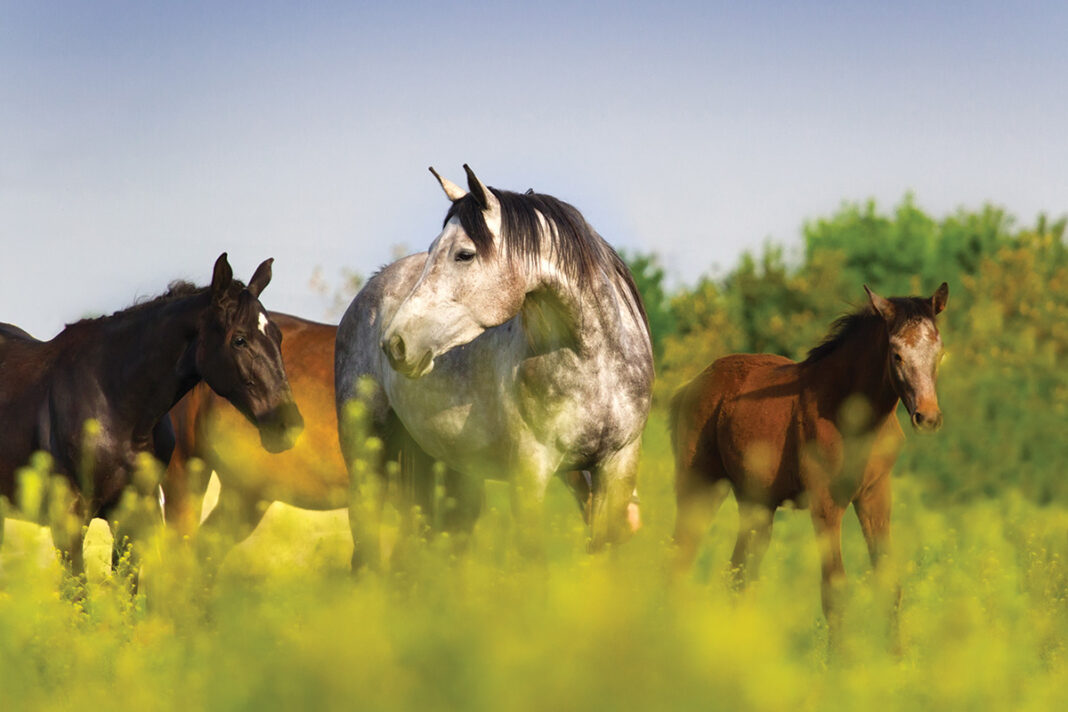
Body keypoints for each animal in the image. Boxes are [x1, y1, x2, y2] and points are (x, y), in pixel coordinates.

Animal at [0, 253, 304, 581]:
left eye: (278, 336)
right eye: (239, 339)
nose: (288, 424)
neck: (115, 405)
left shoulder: (135, 520)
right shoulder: (68, 521)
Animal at [335, 165, 653, 569]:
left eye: (464, 254)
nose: (396, 344)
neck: (594, 364)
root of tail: (371, 287)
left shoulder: (617, 466)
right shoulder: (530, 473)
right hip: (367, 454)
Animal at [670, 283, 948, 637]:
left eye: (938, 352)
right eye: (896, 354)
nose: (928, 417)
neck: (849, 412)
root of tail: (690, 387)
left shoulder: (875, 498)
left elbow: (890, 587)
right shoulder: (825, 504)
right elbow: (834, 593)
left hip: (756, 502)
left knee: (740, 575)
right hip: (699, 488)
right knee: (679, 559)